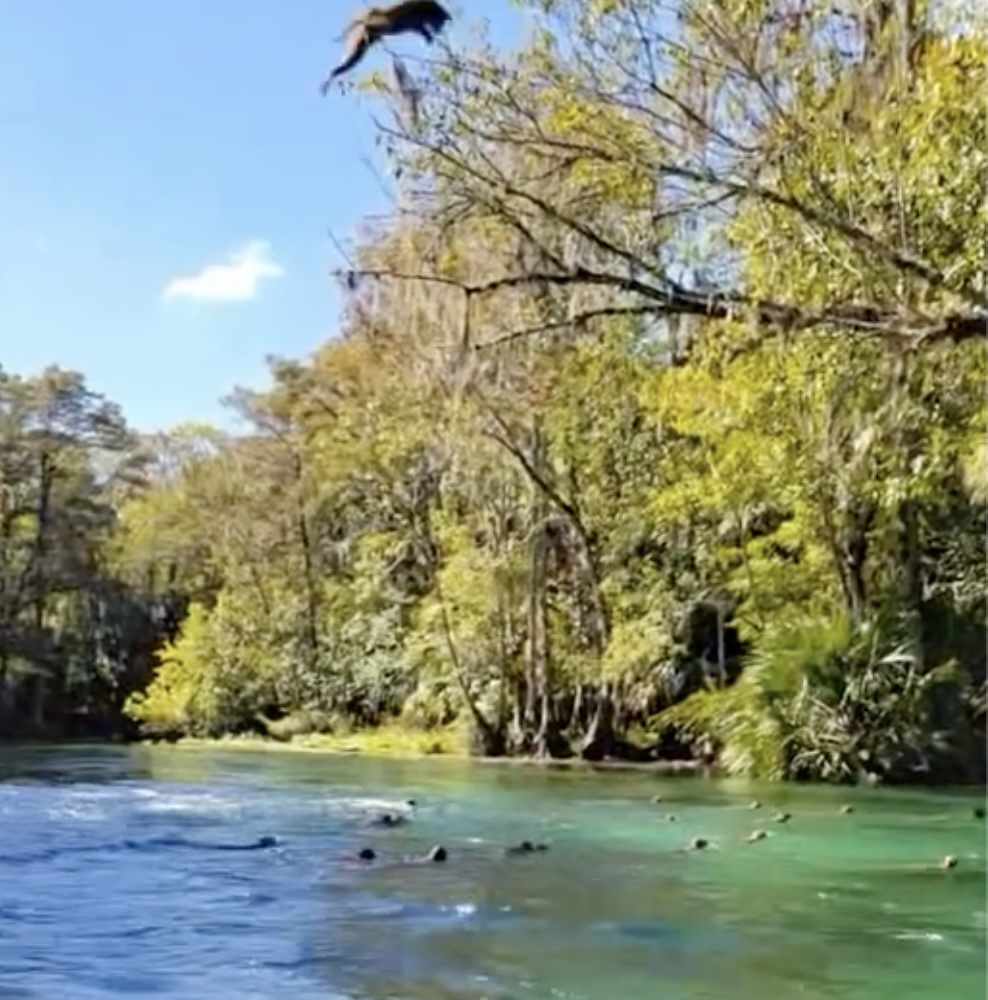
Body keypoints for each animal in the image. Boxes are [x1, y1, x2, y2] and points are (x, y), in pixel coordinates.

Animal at [320, 1, 452, 94]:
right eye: (440, 23)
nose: (440, 28)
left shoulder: (419, 22)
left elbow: (421, 29)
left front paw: (429, 37)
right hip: (380, 20)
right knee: (384, 24)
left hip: (362, 37)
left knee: (354, 57)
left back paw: (334, 73)